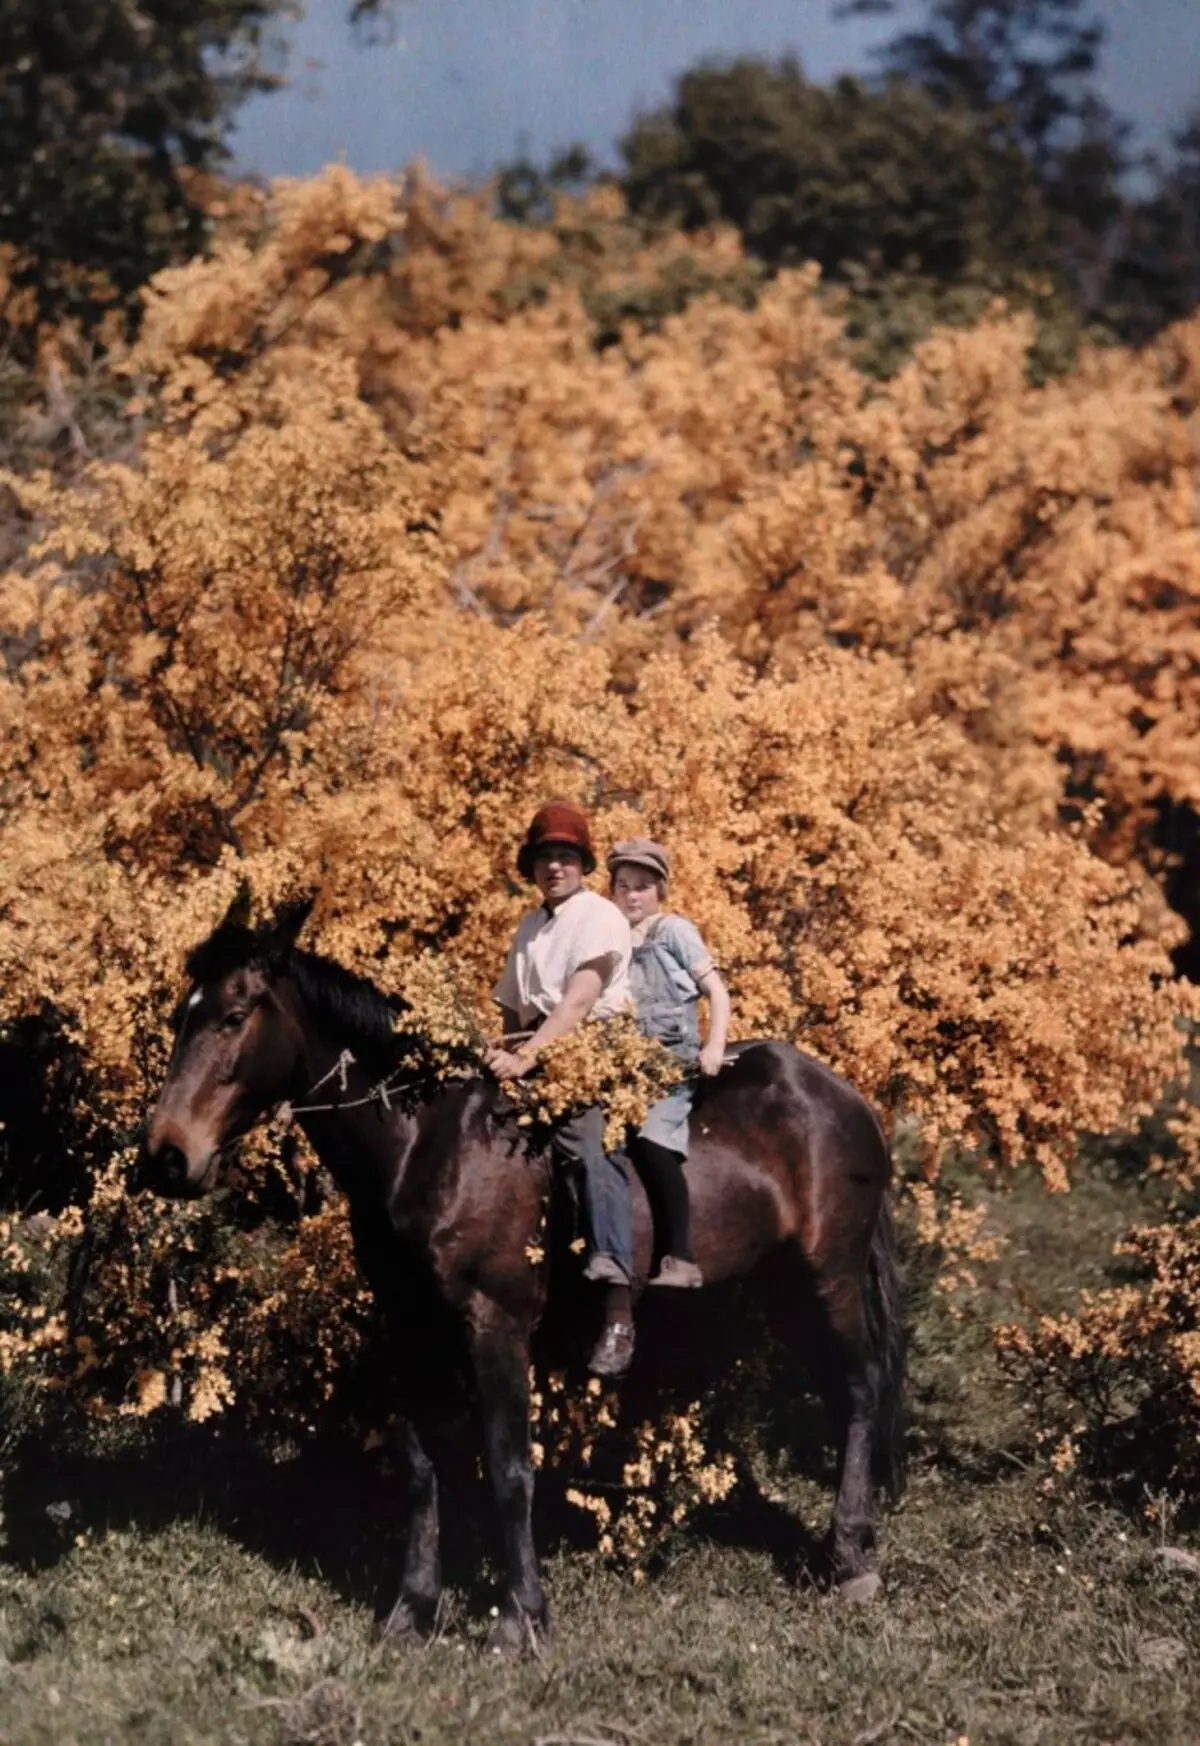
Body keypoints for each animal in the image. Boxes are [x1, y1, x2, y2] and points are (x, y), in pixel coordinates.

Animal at [140, 900, 908, 1648]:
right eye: (183, 1015)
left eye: (235, 1015)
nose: (167, 1158)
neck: (427, 1147)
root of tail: (846, 1097)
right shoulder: (408, 1323)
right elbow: (422, 1466)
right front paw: (411, 1611)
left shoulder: (494, 1322)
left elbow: (509, 1467)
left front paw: (522, 1619)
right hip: (784, 1288)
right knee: (841, 1393)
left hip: (828, 1277)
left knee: (860, 1388)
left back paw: (851, 1560)